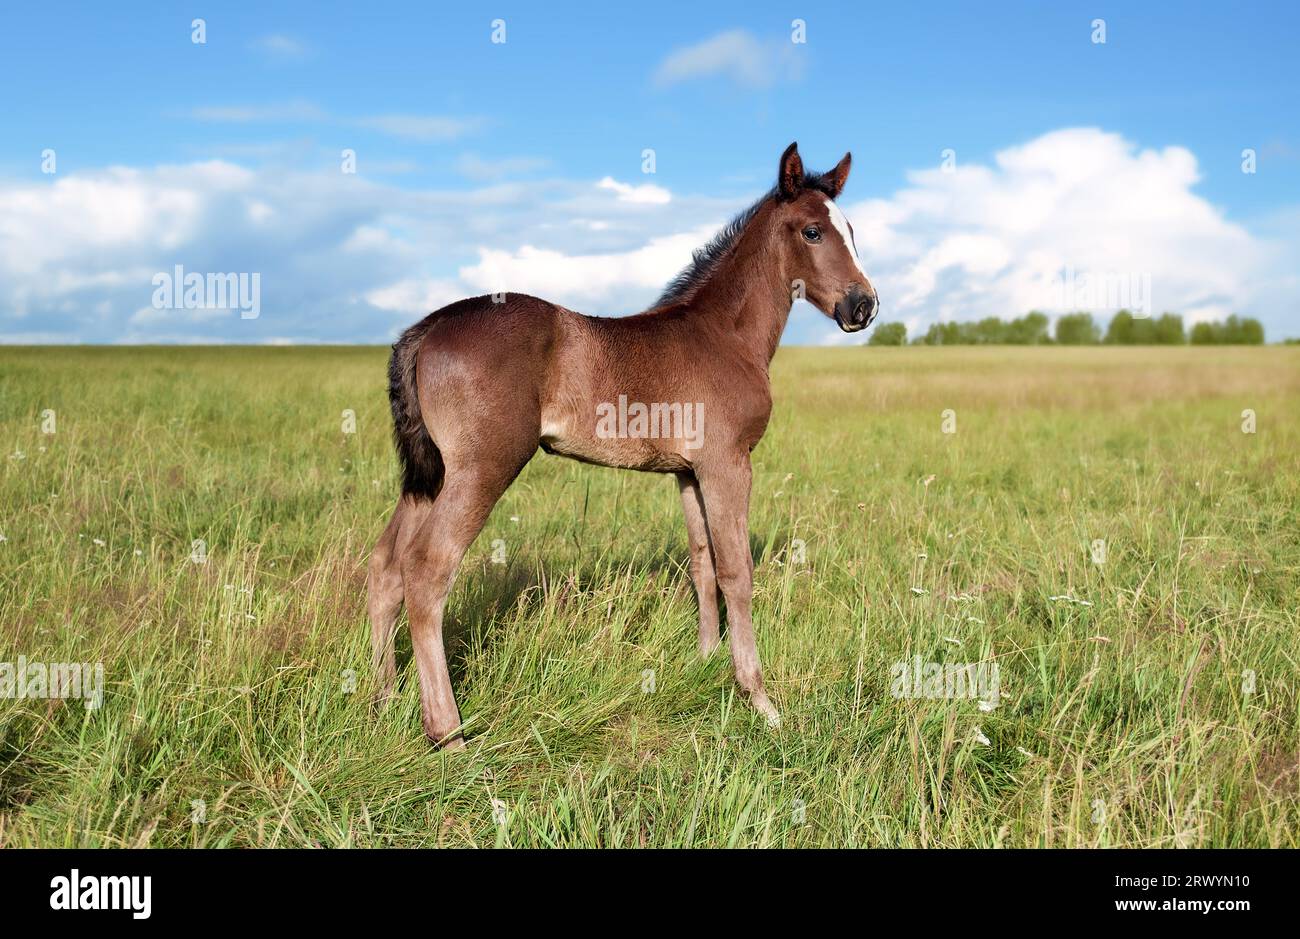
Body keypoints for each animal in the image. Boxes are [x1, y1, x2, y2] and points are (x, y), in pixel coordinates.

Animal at [368, 143, 878, 748]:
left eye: (852, 230)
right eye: (812, 232)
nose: (863, 305)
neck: (725, 334)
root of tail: (424, 329)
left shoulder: (688, 471)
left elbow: (702, 564)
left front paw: (704, 663)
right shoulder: (728, 463)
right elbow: (737, 571)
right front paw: (759, 699)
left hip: (433, 475)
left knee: (385, 566)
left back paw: (382, 701)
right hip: (481, 469)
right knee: (426, 572)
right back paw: (449, 734)